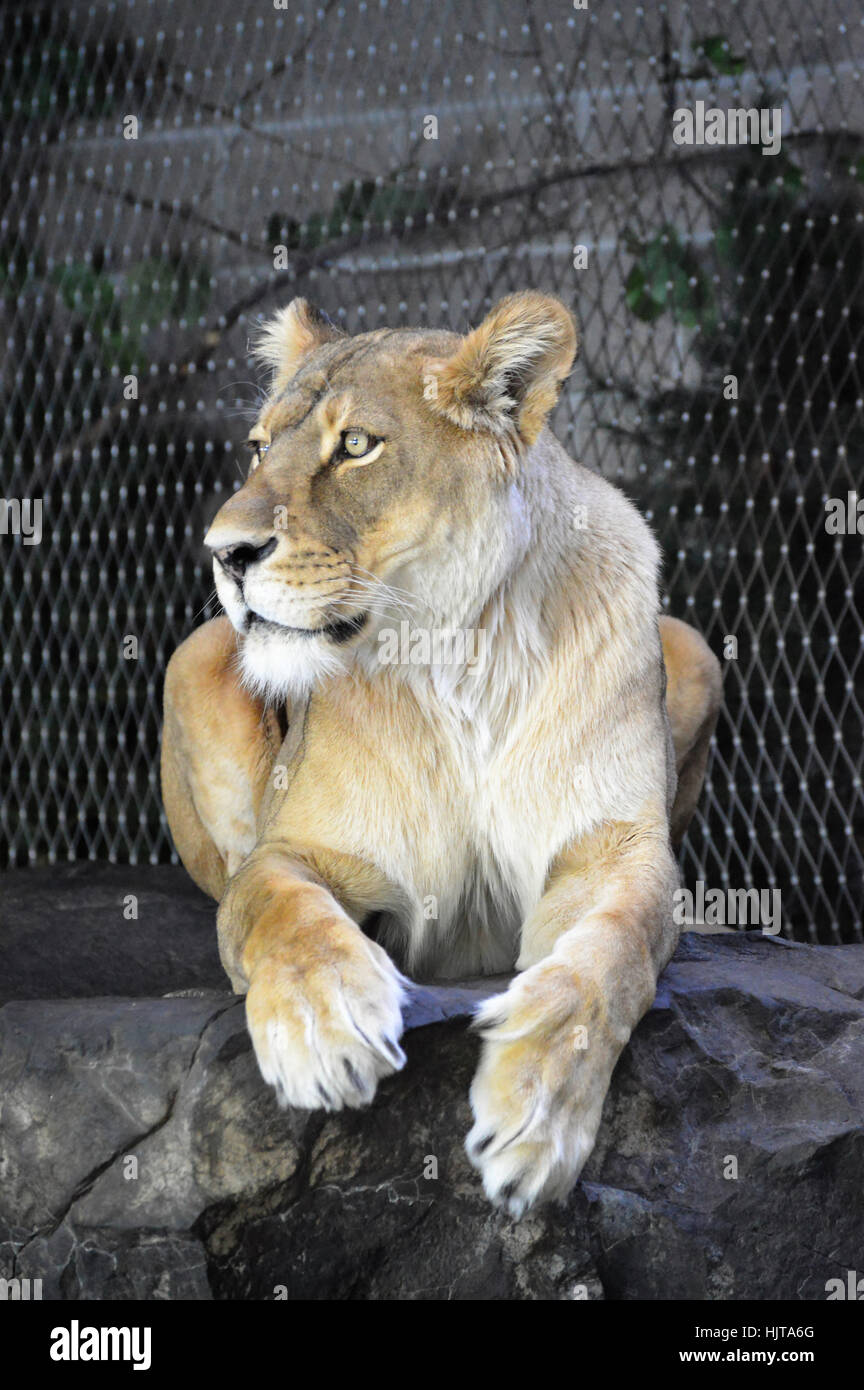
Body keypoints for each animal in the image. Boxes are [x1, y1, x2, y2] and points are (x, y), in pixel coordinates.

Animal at [161, 292, 721, 1216]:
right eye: (257, 447)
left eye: (357, 445)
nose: (226, 553)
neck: (459, 654)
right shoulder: (299, 853)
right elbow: (283, 910)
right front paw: (324, 1030)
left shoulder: (619, 852)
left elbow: (609, 960)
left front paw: (534, 1115)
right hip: (193, 656)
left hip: (695, 647)